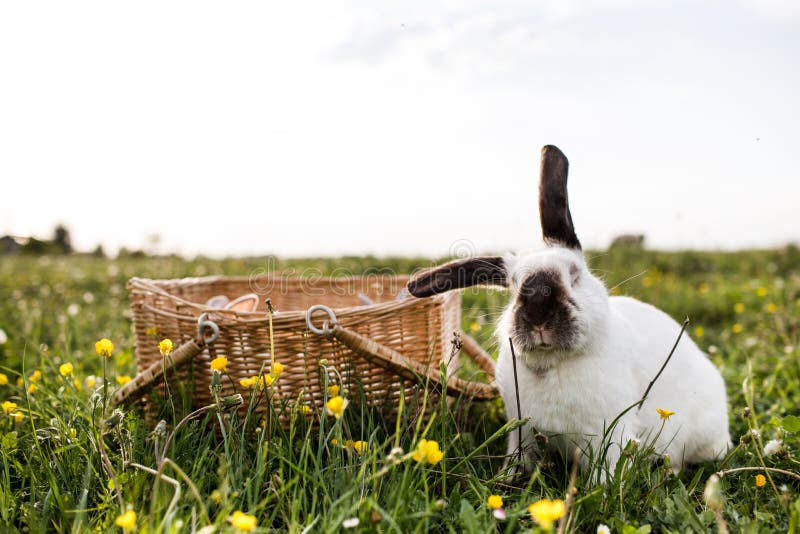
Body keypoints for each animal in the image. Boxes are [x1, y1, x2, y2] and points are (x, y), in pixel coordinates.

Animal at [406, 145, 731, 481]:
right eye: (514, 285)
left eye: (574, 275)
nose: (539, 312)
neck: (553, 365)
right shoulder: (521, 432)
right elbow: (519, 456)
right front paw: (507, 479)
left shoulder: (609, 436)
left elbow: (606, 469)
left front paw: (601, 489)